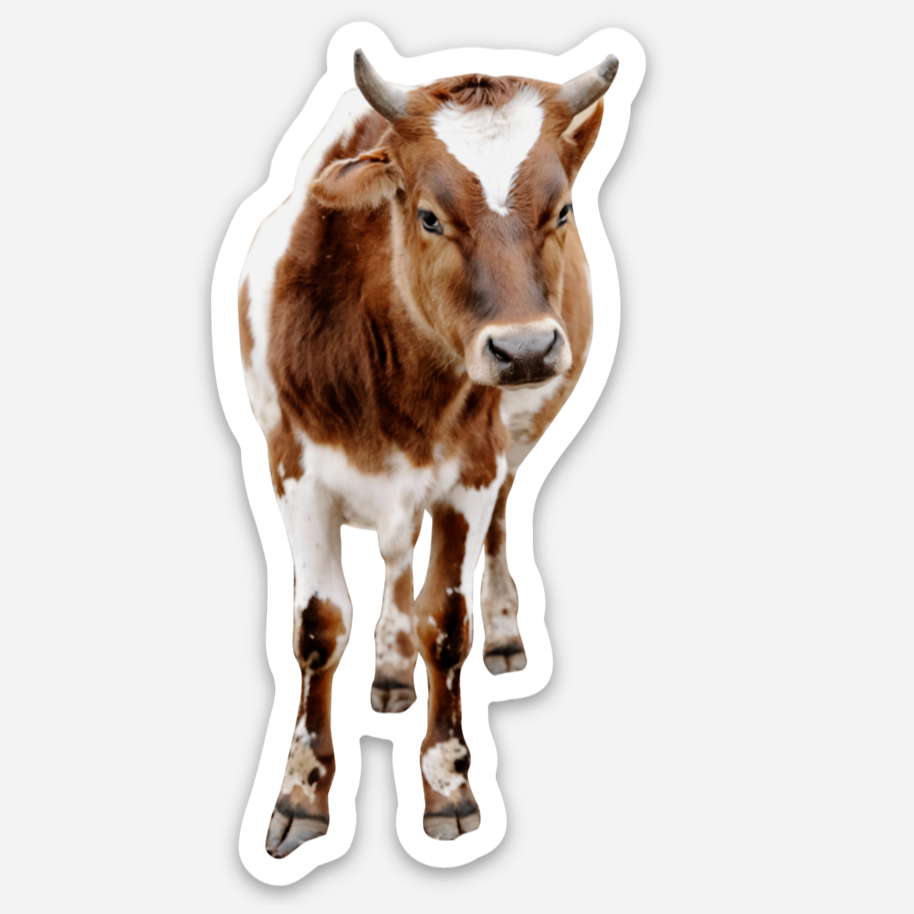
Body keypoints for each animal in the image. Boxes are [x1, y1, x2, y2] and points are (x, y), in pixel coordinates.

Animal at [238, 49, 618, 857]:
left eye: (562, 212)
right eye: (429, 216)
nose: (525, 349)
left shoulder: (469, 474)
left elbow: (444, 624)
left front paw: (448, 785)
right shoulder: (296, 471)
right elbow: (319, 627)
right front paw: (301, 793)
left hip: (511, 446)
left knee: (495, 528)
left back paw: (500, 632)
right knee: (393, 562)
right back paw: (388, 669)